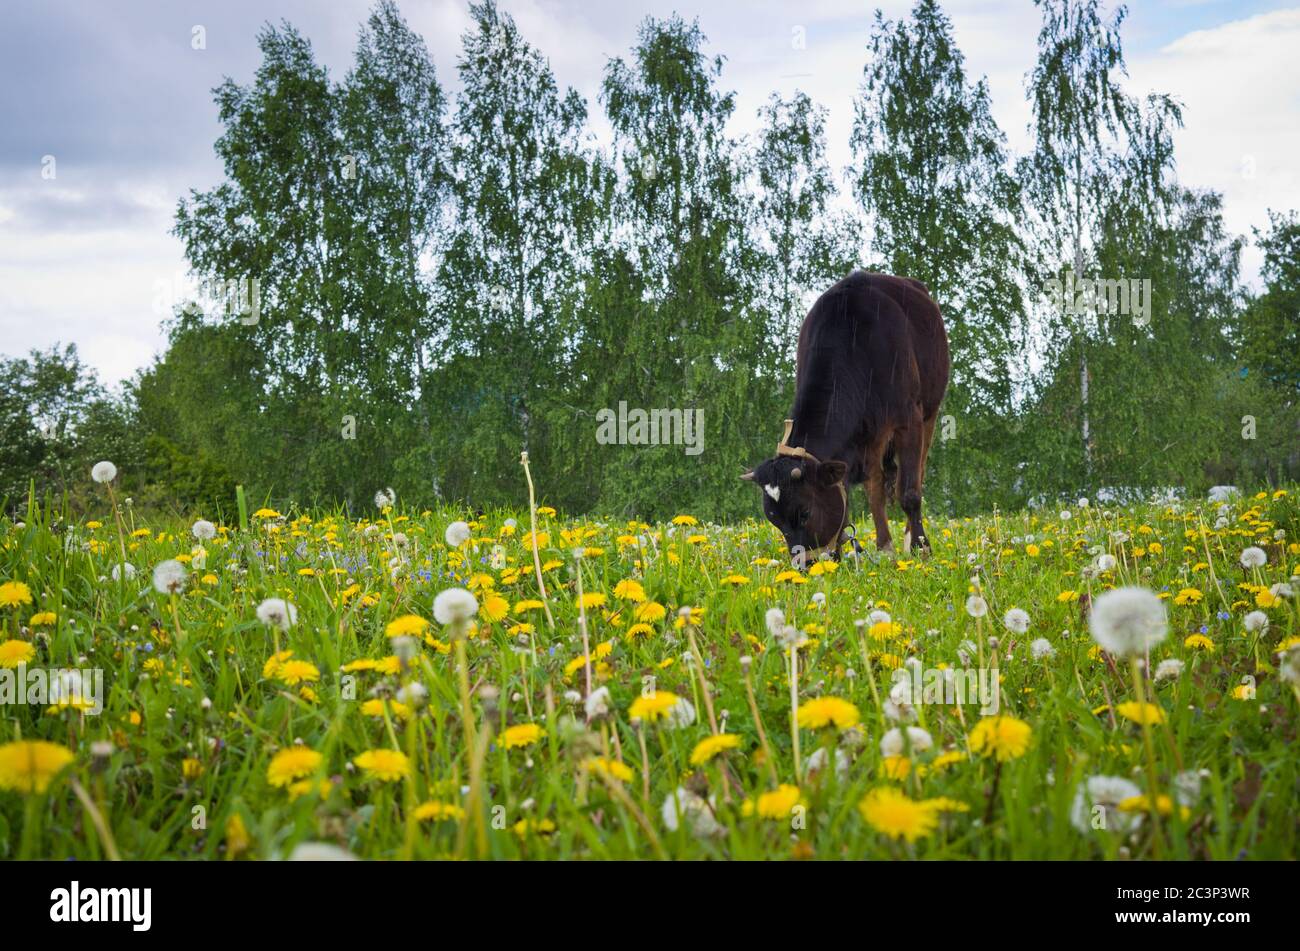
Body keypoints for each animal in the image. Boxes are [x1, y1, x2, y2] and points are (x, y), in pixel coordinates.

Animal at [741, 271, 949, 564]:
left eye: (804, 512)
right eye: (775, 521)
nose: (805, 566)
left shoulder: (909, 418)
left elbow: (909, 492)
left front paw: (921, 547)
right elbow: (857, 494)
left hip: (929, 411)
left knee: (916, 473)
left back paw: (910, 539)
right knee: (875, 488)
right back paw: (885, 545)